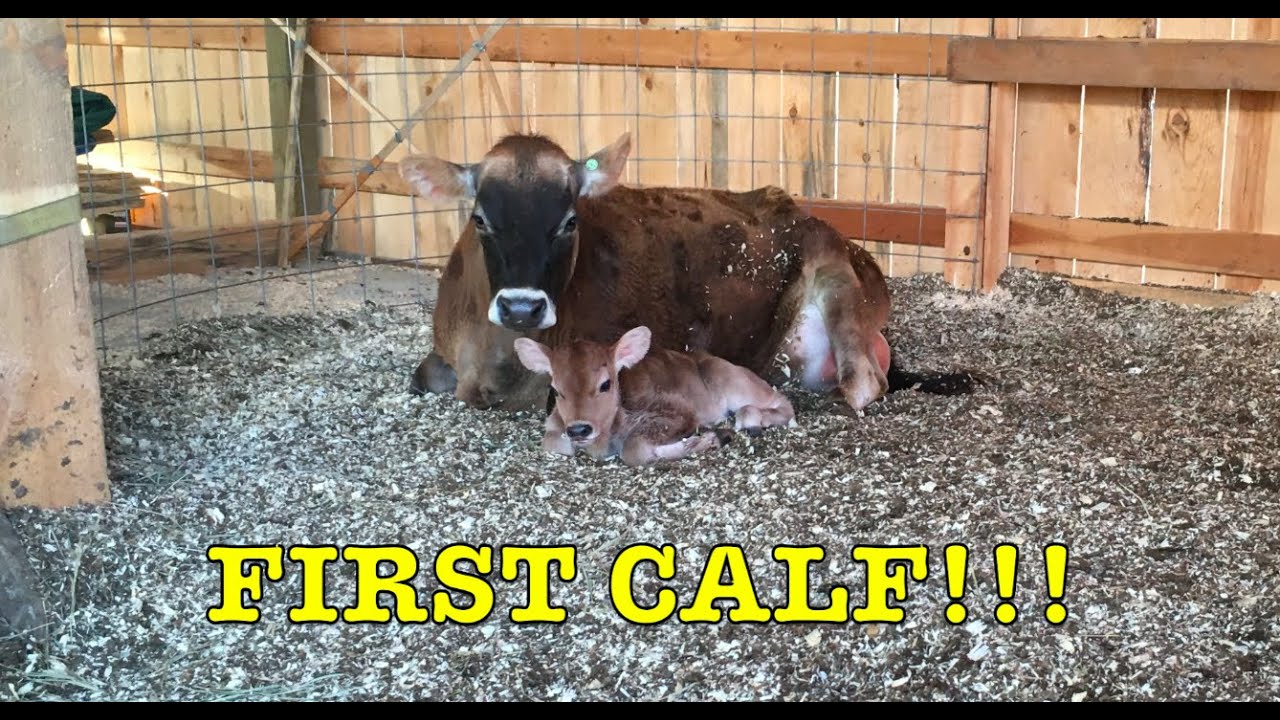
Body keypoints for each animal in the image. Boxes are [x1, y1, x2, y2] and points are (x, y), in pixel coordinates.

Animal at [398, 131, 977, 415]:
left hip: (836, 277)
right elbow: (421, 377)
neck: (491, 362)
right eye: (480, 219)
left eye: (568, 220)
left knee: (863, 382)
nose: (522, 305)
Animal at [513, 325, 797, 466]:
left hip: (734, 381)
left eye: (605, 384)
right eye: (556, 389)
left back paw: (750, 419)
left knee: (782, 403)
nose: (579, 429)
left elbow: (634, 449)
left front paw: (709, 440)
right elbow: (551, 442)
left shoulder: (677, 411)